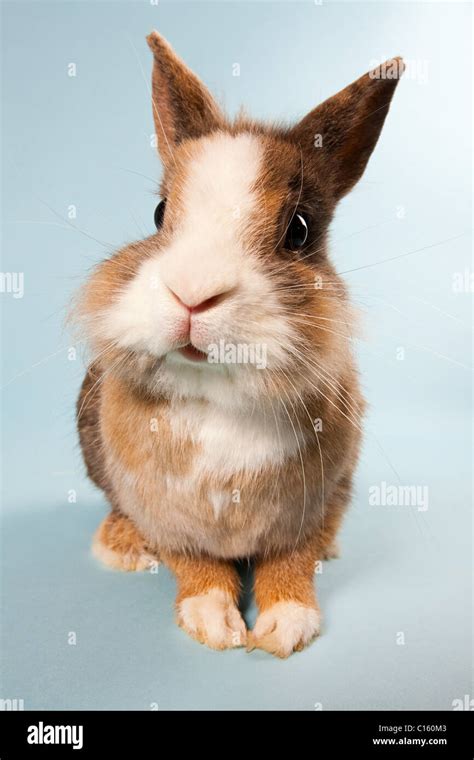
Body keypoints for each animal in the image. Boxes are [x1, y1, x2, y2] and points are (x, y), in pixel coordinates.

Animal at [75, 31, 403, 657]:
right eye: (159, 213)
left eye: (299, 231)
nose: (192, 293)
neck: (218, 395)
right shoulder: (167, 518)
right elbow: (194, 565)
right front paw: (213, 621)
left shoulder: (315, 504)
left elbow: (290, 562)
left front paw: (284, 626)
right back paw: (120, 544)